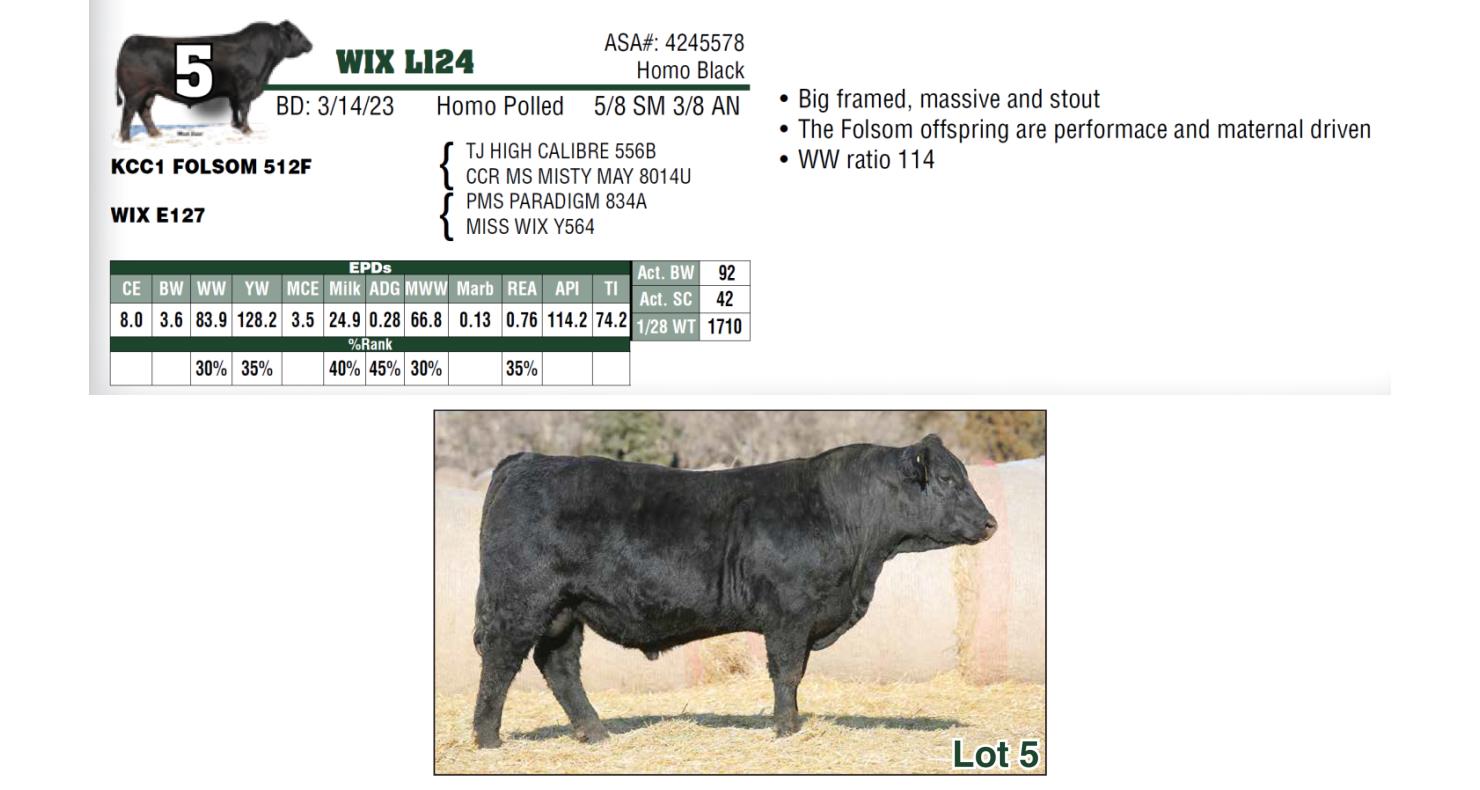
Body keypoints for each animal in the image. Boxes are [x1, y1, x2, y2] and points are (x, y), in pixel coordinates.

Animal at [115, 21, 312, 141]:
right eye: (296, 33)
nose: (310, 45)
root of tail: (131, 40)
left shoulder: (234, 91)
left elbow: (234, 108)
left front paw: (237, 125)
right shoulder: (246, 88)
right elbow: (245, 108)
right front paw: (247, 129)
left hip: (149, 92)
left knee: (144, 111)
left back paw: (155, 133)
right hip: (135, 92)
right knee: (129, 112)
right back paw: (126, 139)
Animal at [471, 434, 997, 747]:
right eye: (947, 479)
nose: (991, 523)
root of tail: (527, 460)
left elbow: (794, 675)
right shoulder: (789, 614)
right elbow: (787, 673)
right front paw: (785, 729)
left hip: (566, 610)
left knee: (558, 666)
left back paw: (595, 731)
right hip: (521, 601)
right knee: (500, 663)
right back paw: (487, 738)